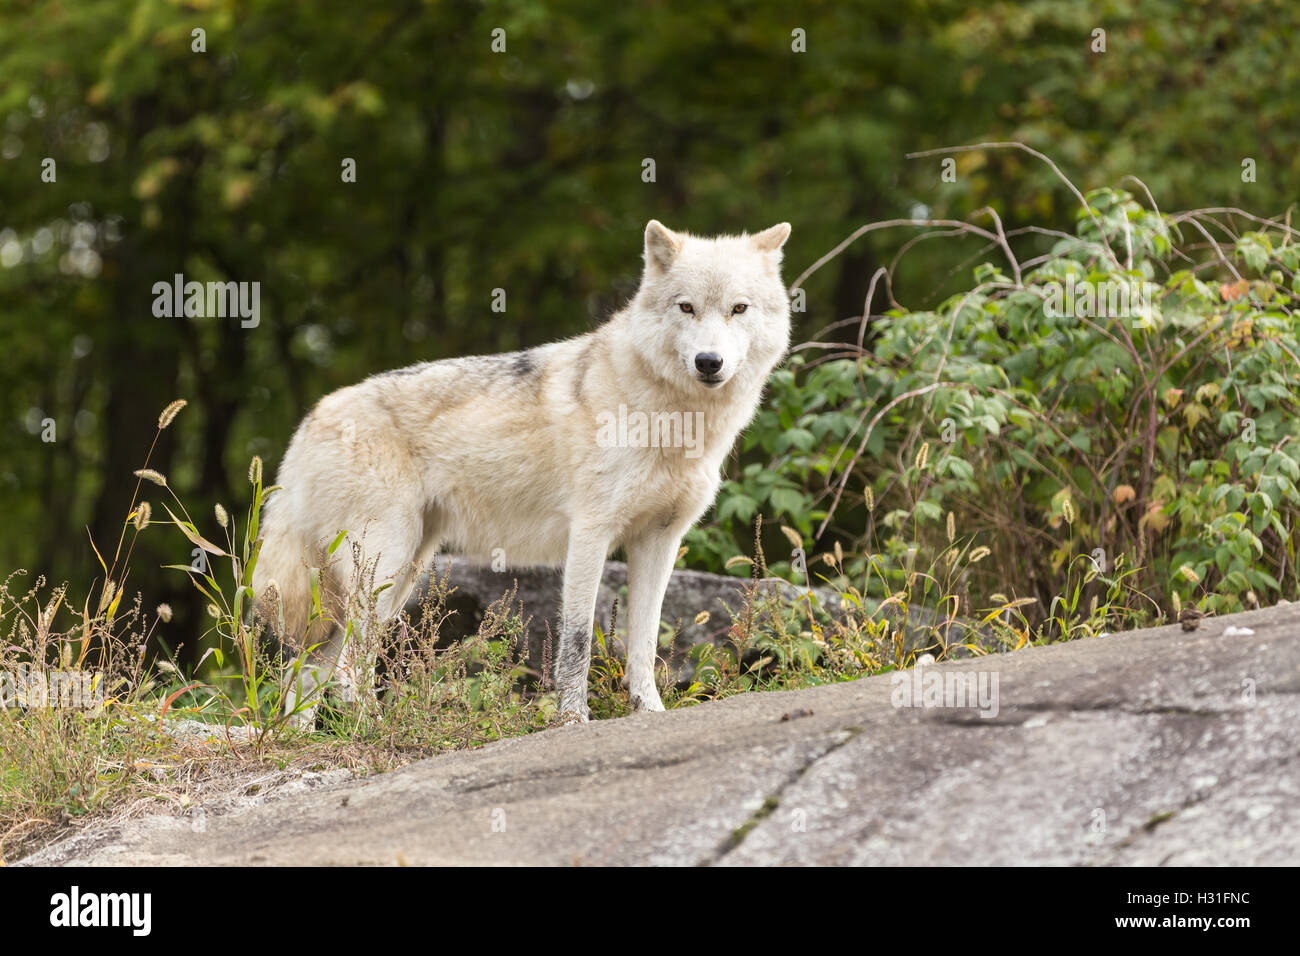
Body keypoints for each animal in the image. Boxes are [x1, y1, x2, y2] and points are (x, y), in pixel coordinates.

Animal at [252, 220, 792, 722]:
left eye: (739, 309)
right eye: (686, 308)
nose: (709, 362)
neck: (676, 423)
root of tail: (311, 418)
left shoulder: (660, 541)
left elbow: (644, 644)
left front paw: (650, 712)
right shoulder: (590, 534)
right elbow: (577, 640)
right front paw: (573, 719)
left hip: (402, 573)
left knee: (312, 671)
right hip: (386, 567)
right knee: (345, 670)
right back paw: (377, 731)